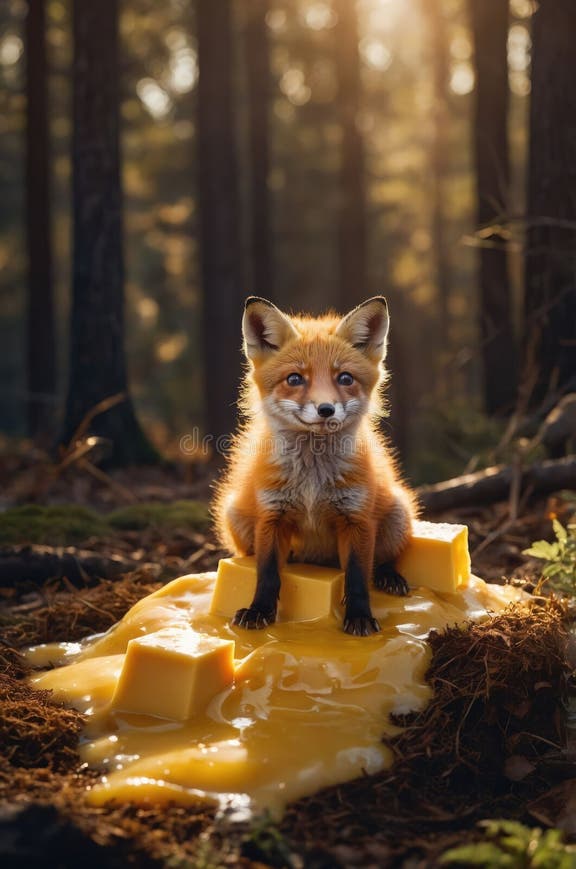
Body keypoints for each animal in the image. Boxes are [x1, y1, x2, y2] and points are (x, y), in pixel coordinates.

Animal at [213, 295, 418, 636]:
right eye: (295, 379)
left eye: (345, 378)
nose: (325, 409)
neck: (312, 481)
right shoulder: (271, 517)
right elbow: (267, 573)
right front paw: (259, 610)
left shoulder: (357, 520)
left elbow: (358, 577)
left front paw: (359, 616)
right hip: (236, 517)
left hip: (398, 515)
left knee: (382, 560)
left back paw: (389, 575)